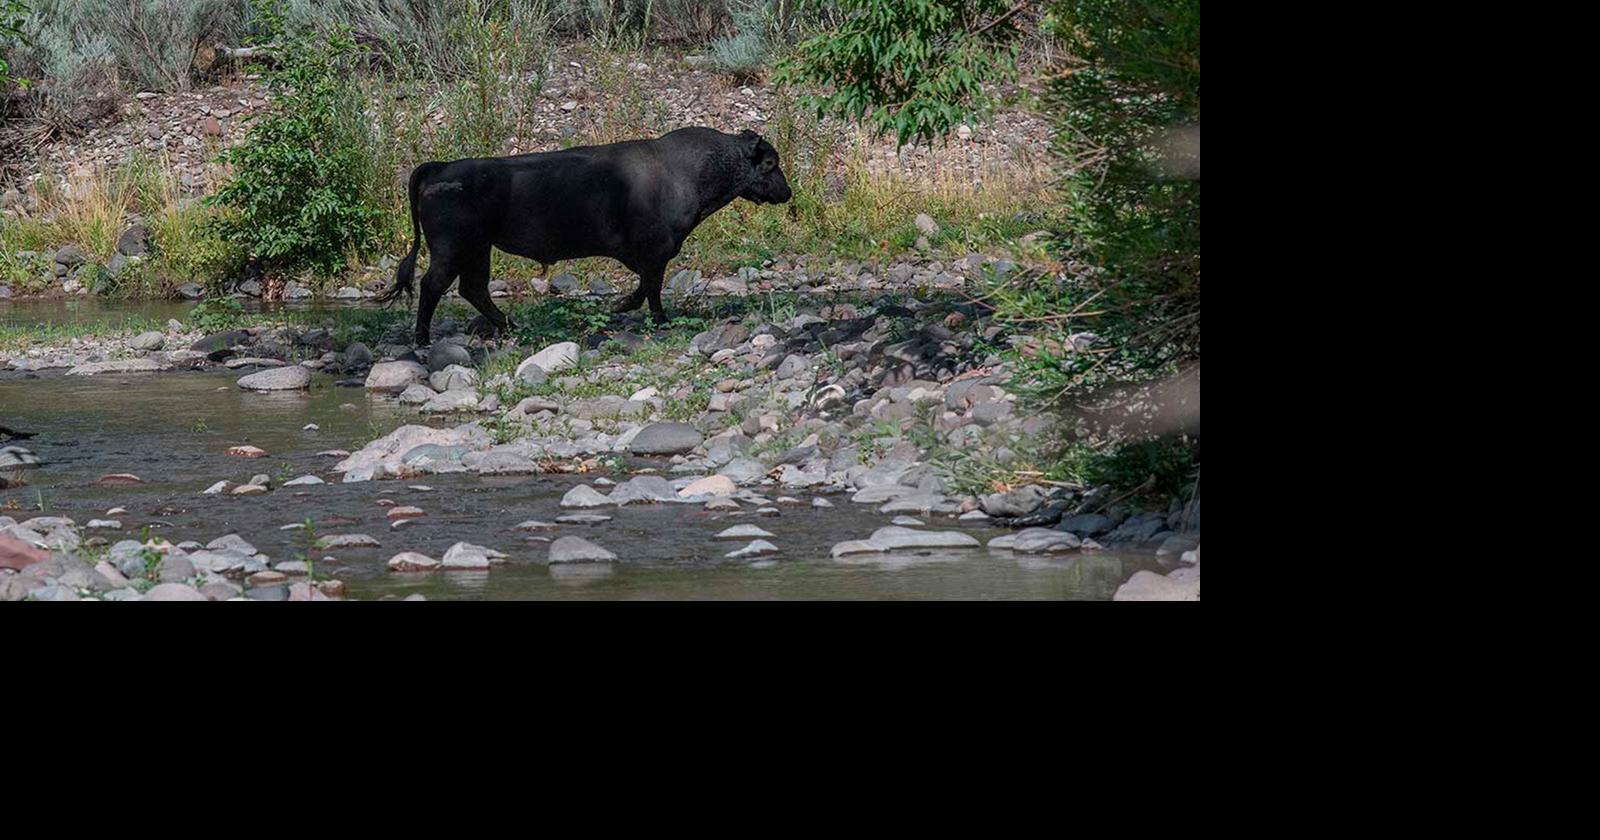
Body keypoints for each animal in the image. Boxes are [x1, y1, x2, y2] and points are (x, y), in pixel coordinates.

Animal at [375, 127, 793, 346]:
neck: (686, 170)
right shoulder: (656, 250)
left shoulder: (650, 254)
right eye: (770, 162)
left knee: (472, 289)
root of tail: (440, 167)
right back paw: (423, 339)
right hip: (453, 249)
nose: (787, 192)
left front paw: (627, 307)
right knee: (433, 285)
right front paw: (642, 313)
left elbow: (647, 284)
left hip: (479, 249)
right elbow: (651, 286)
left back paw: (511, 326)